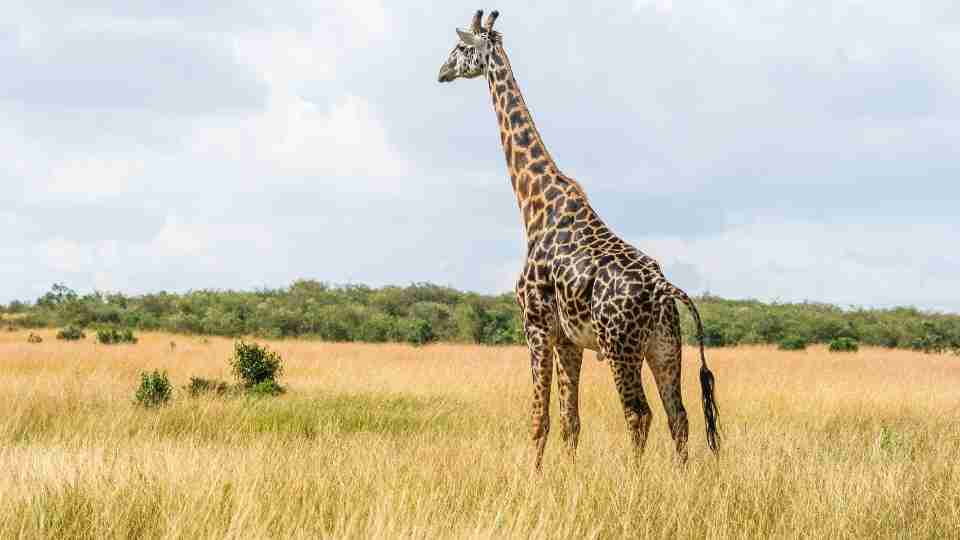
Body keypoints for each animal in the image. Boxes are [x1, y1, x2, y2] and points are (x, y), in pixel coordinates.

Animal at [438, 10, 720, 469]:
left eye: (461, 47)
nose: (441, 71)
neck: (535, 203)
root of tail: (664, 289)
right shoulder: (569, 338)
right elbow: (571, 421)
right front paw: (568, 476)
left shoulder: (536, 325)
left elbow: (540, 418)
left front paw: (532, 477)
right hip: (664, 345)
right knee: (678, 415)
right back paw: (682, 479)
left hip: (621, 345)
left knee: (638, 414)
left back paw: (636, 480)